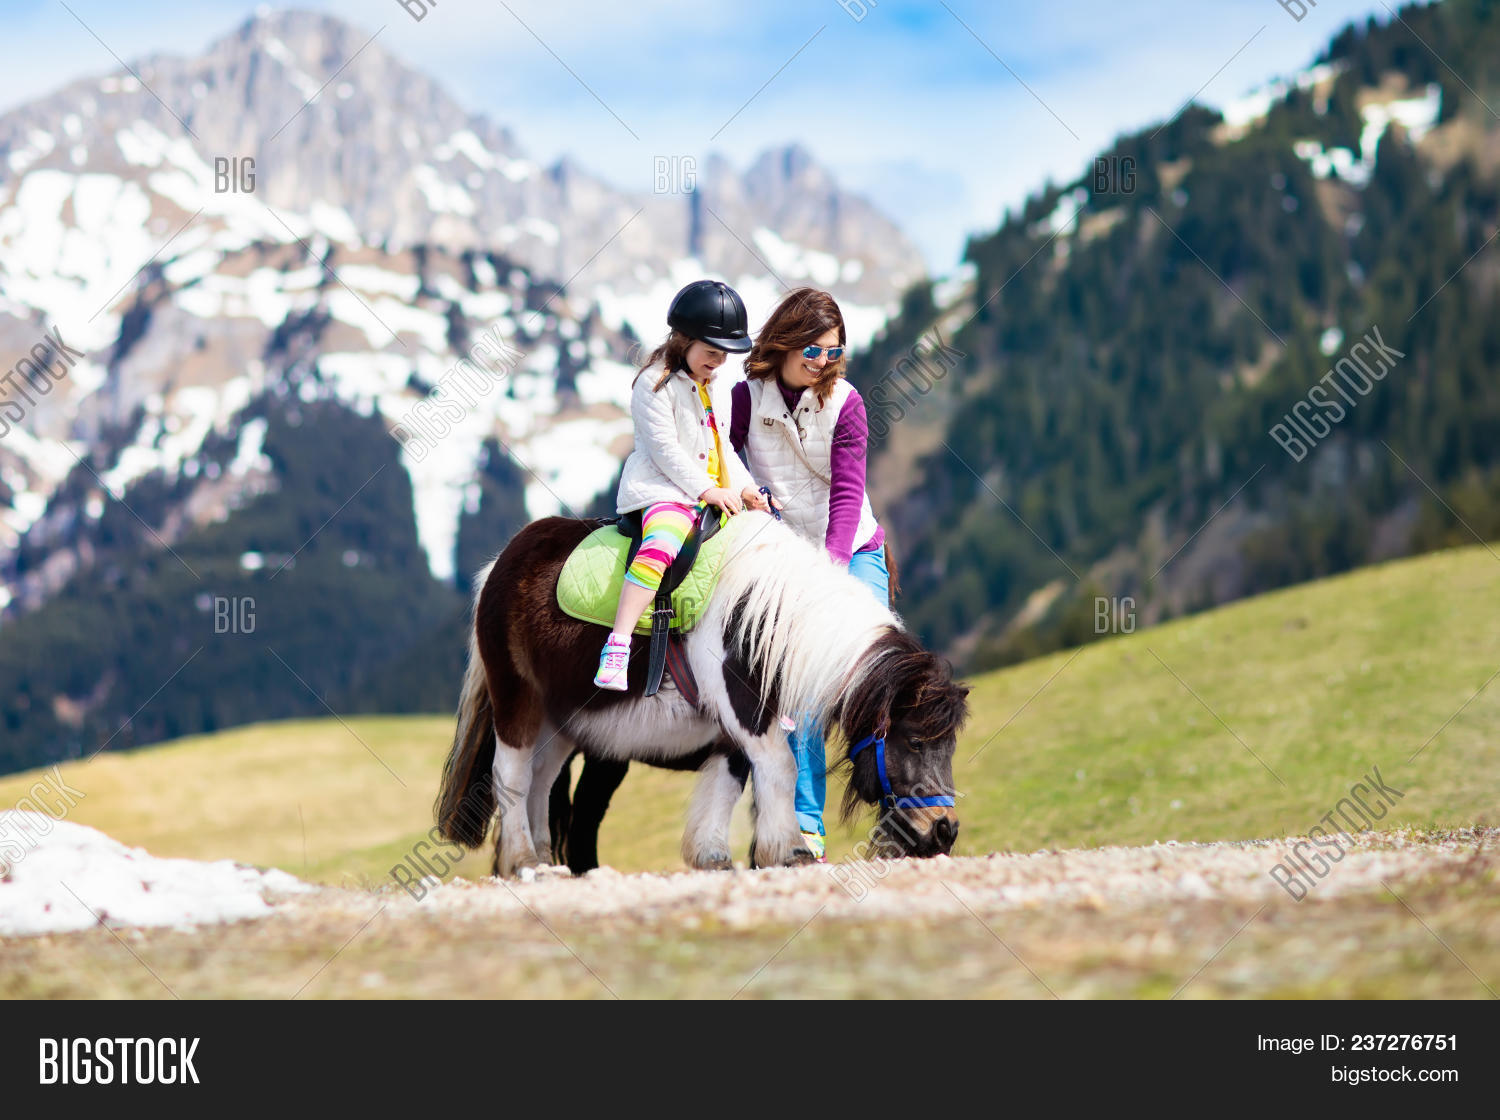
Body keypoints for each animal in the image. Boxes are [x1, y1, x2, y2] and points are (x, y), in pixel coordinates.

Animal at [434, 511, 968, 878]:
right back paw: (524, 859)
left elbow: (730, 782)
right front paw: (790, 851)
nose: (944, 830)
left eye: (951, 745)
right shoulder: (747, 711)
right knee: (512, 775)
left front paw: (714, 855)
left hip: (560, 722)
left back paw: (544, 861)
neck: (764, 615)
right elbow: (779, 769)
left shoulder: (732, 727)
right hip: (518, 699)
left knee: (541, 781)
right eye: (914, 741)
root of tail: (499, 567)